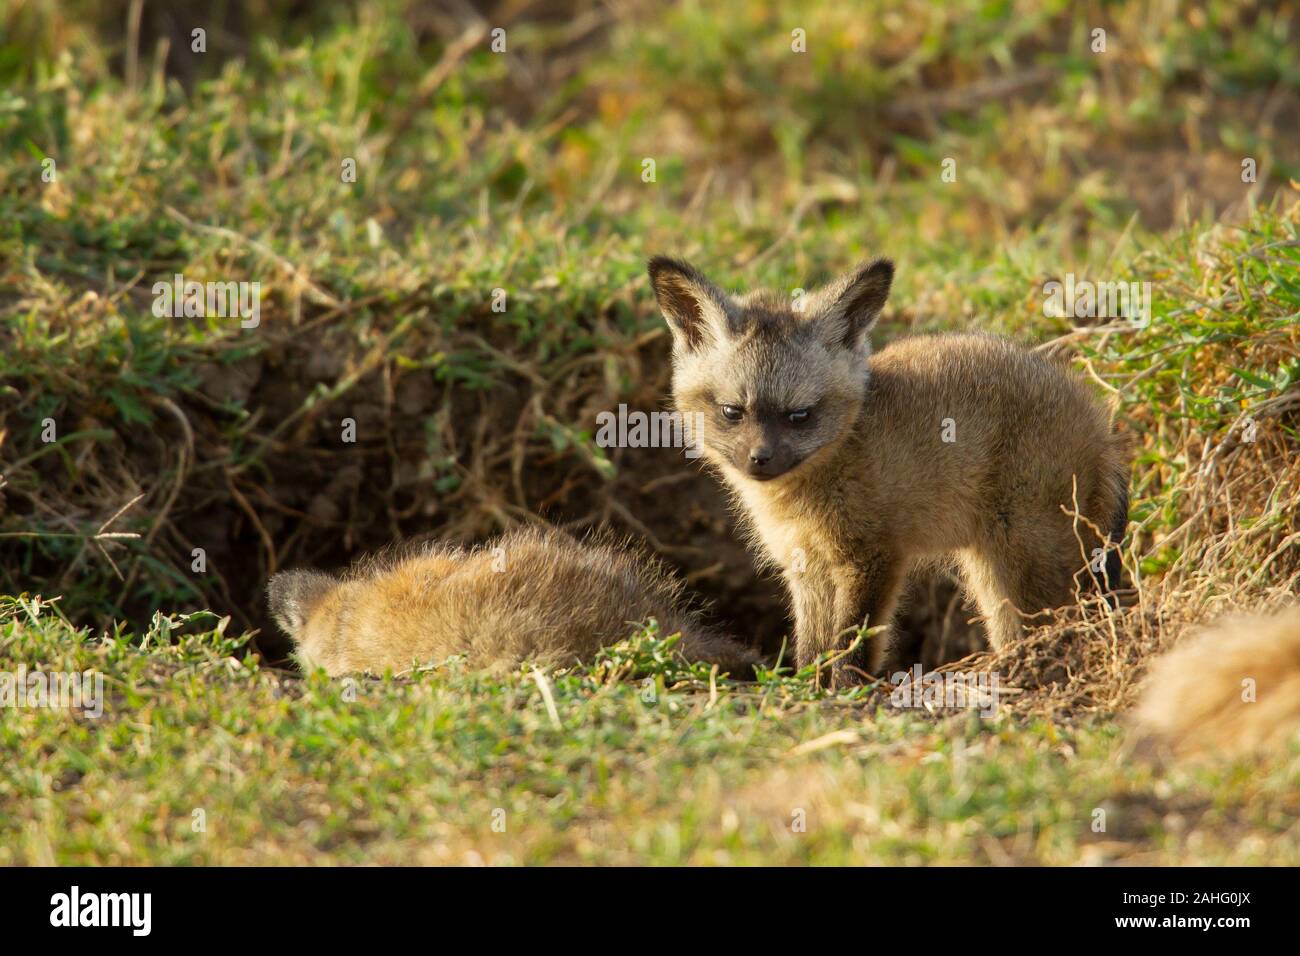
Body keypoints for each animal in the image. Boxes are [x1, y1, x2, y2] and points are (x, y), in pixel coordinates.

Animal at [649, 254, 1129, 685]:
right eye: (733, 412)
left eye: (799, 415)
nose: (759, 459)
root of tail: (1100, 426)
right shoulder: (807, 568)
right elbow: (813, 648)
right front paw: (808, 689)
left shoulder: (874, 556)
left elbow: (851, 644)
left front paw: (845, 692)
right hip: (991, 572)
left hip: (1028, 558)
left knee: (1065, 622)